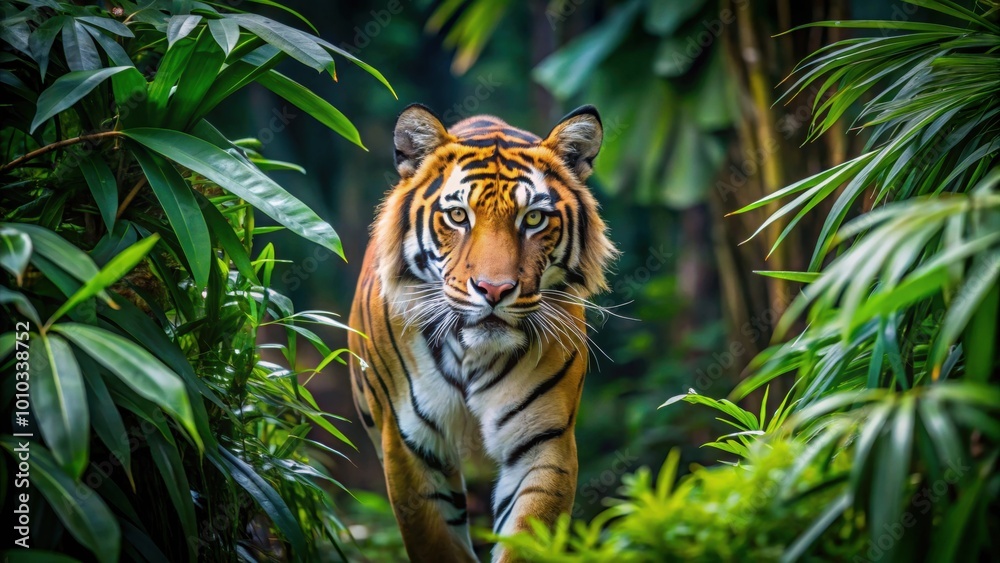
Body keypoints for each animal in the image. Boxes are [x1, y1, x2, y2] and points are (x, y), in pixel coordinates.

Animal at [348, 103, 617, 562]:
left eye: (533, 218)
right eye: (458, 216)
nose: (494, 289)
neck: (473, 353)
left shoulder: (543, 442)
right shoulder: (409, 446)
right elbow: (437, 543)